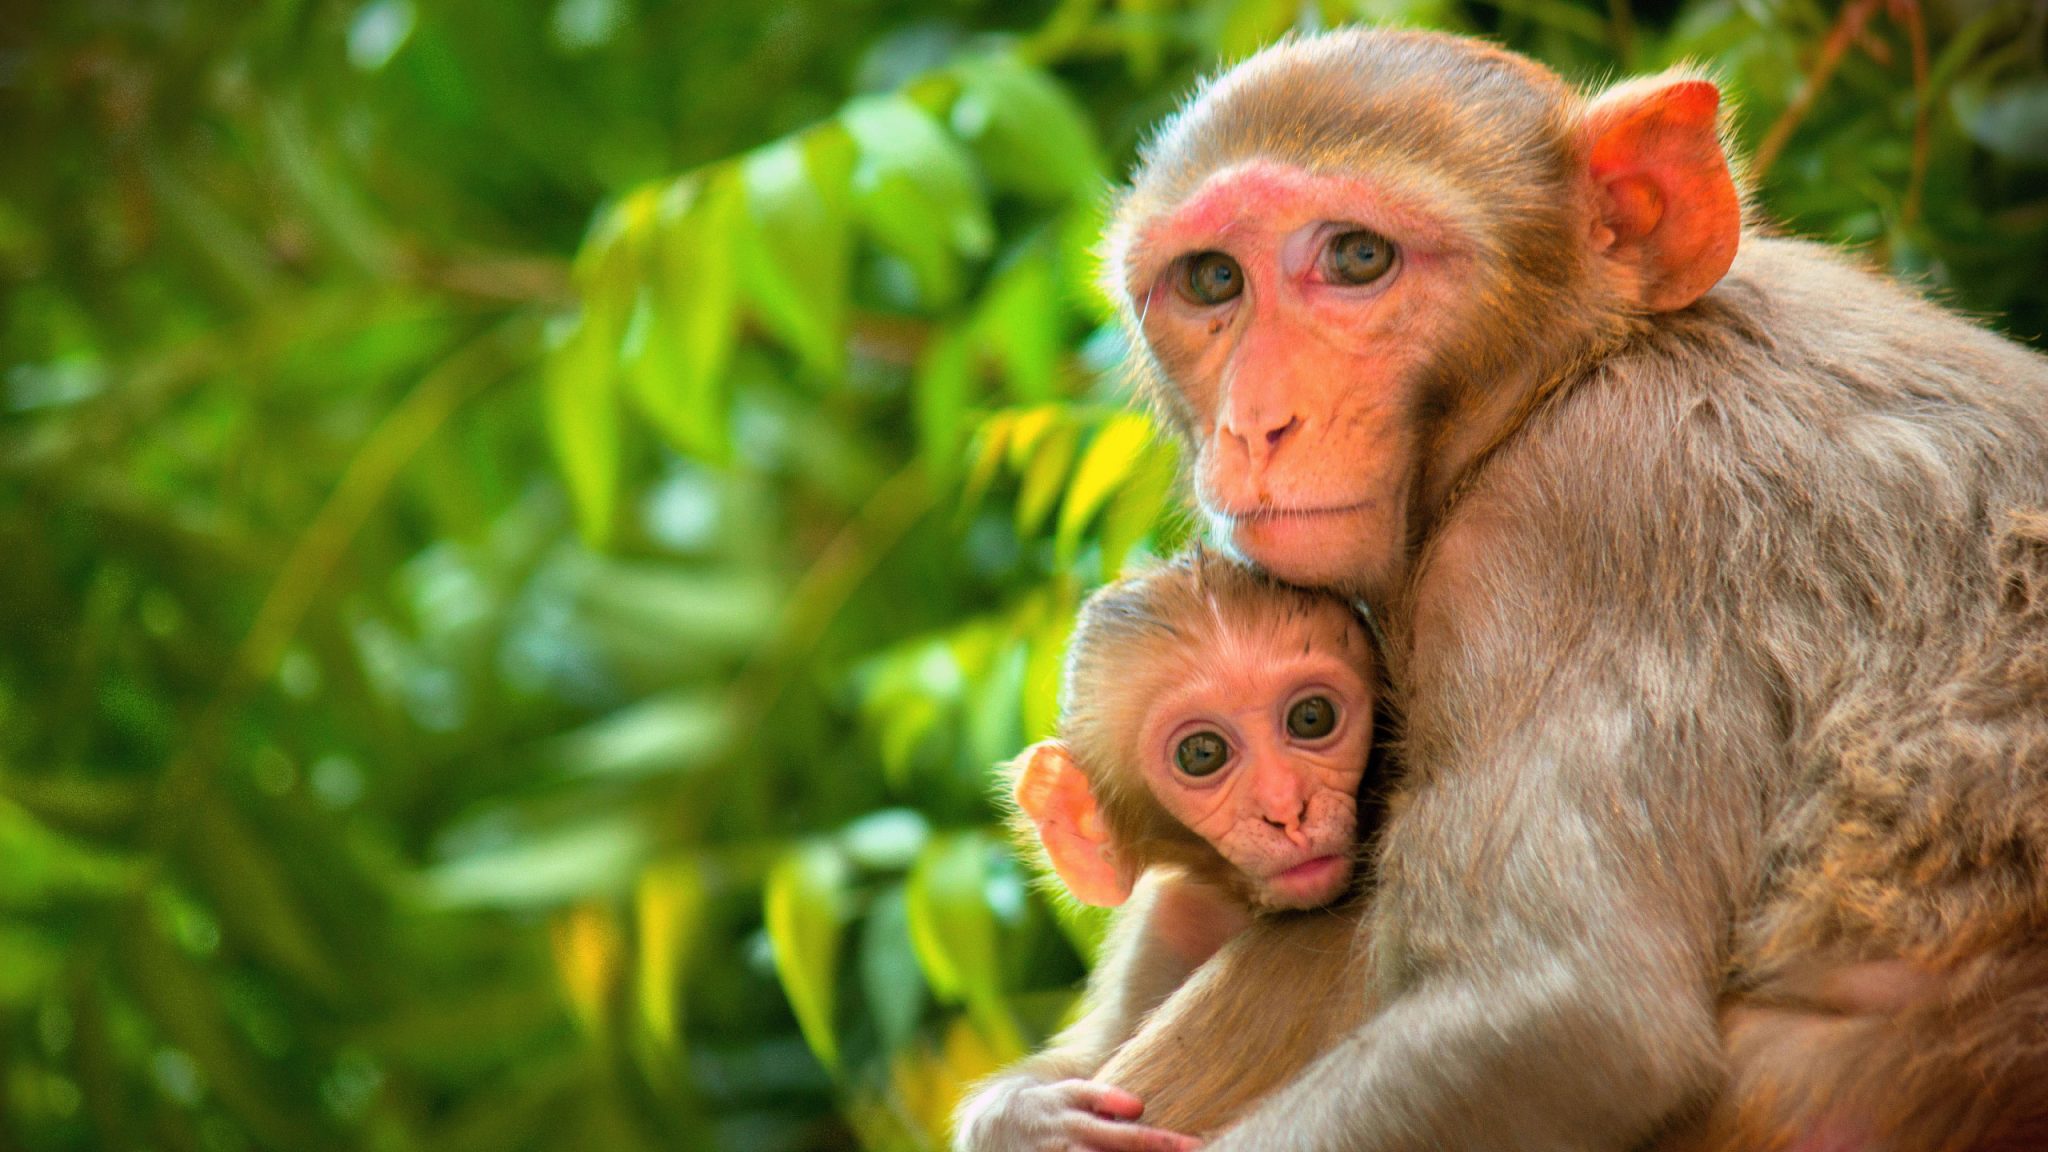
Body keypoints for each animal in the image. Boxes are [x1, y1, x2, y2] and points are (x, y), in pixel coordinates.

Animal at [1079, 26, 2048, 1152]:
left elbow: (1567, 1018)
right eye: (1210, 280)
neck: (1583, 364)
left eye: (1358, 258)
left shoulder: (1566, 530)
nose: (1257, 423)